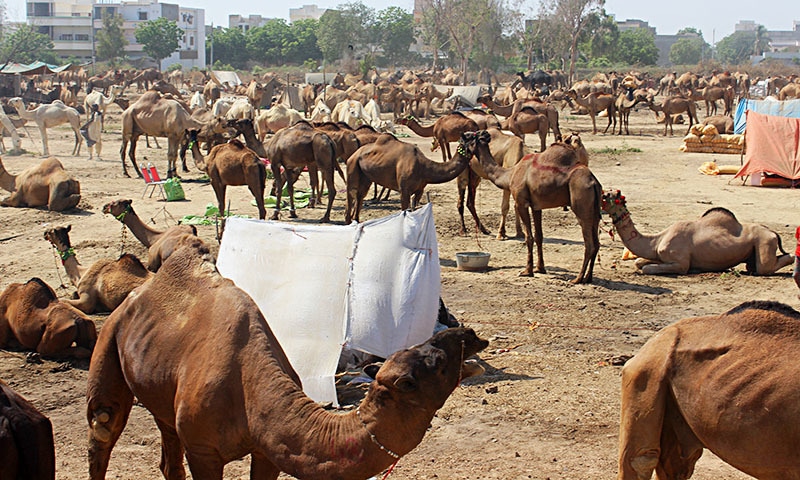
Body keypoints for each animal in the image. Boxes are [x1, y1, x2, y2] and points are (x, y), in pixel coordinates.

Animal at [86, 240, 488, 480]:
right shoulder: (204, 451)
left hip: (161, 391)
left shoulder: (269, 450)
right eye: (437, 360)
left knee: (166, 447)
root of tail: (139, 292)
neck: (248, 392)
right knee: (103, 426)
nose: (470, 336)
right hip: (109, 339)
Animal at [345, 132, 475, 223]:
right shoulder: (404, 190)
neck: (423, 167)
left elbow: (415, 208)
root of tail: (354, 154)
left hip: (365, 176)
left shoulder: (420, 190)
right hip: (352, 166)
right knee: (351, 195)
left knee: (360, 196)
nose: (481, 133)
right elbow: (404, 211)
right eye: (473, 137)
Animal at [472, 130, 601, 283]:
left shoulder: (521, 202)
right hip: (595, 211)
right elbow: (539, 236)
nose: (461, 142)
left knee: (589, 244)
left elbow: (529, 237)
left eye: (470, 138)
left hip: (582, 205)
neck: (510, 174)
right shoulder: (536, 206)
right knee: (596, 243)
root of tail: (593, 182)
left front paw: (527, 271)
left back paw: (578, 278)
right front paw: (540, 268)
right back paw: (588, 277)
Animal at [600, 189, 793, 275]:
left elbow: (647, 268)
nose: (600, 193)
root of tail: (772, 232)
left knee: (768, 266)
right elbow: (639, 262)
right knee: (753, 266)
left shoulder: (680, 263)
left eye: (607, 195)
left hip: (764, 242)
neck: (656, 240)